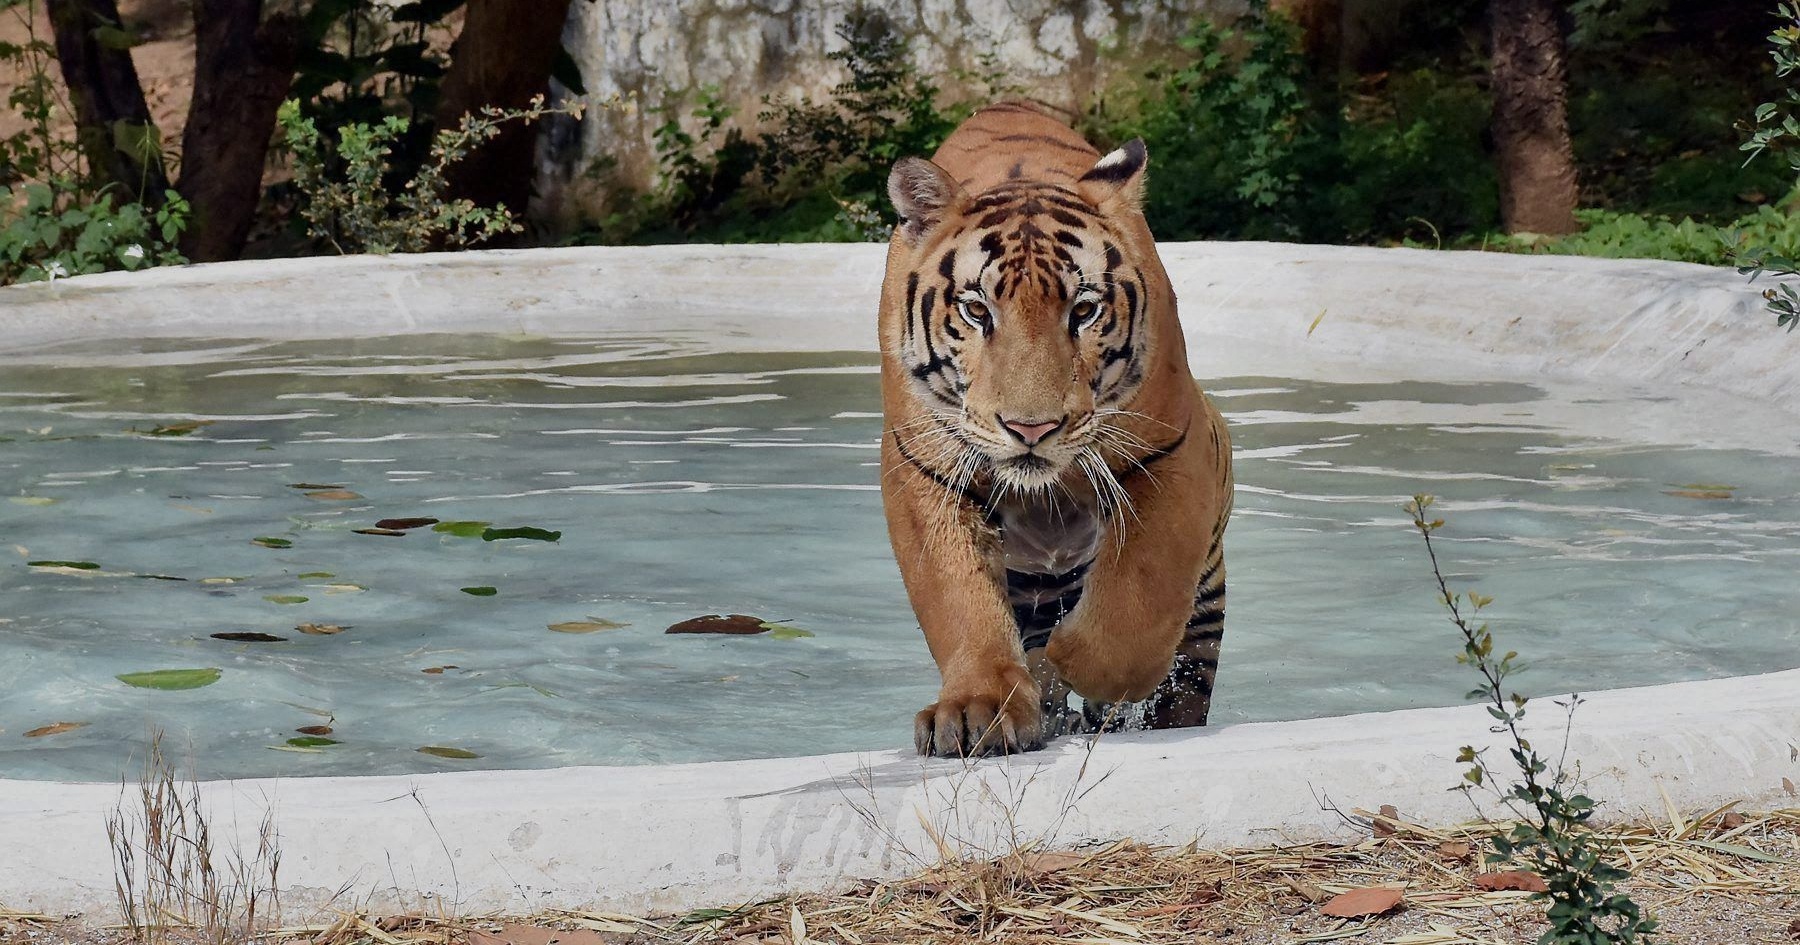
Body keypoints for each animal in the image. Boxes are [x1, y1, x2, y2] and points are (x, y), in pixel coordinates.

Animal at [878, 101, 1235, 757]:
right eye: (976, 310)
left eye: (1084, 310)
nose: (1031, 427)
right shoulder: (924, 468)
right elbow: (959, 600)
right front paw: (977, 708)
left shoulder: (1170, 452)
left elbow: (1136, 611)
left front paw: (1070, 660)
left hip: (1204, 610)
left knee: (1185, 678)